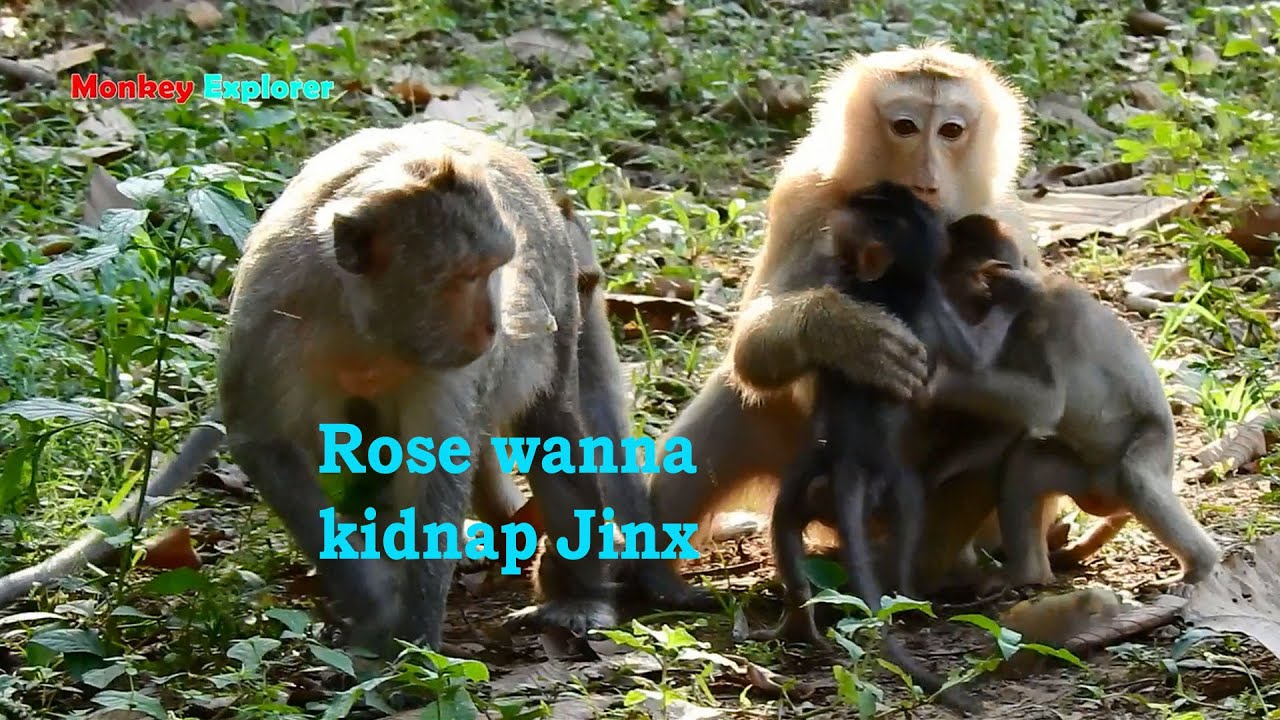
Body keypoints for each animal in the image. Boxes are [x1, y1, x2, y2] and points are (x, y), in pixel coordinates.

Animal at [638, 43, 1037, 610]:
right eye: (906, 126)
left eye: (951, 131)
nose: (925, 177)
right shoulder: (804, 195)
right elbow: (750, 350)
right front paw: (847, 334)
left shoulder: (1007, 220)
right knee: (735, 400)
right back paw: (653, 574)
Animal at [754, 182, 983, 715]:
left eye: (877, 205)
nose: (847, 197)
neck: (894, 281)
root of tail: (848, 465)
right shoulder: (932, 303)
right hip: (862, 481)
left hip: (831, 480)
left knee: (796, 529)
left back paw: (809, 619)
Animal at [925, 214, 1222, 589]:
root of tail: (1103, 497)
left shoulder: (1047, 324)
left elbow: (1046, 404)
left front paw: (939, 381)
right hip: (1083, 478)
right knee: (1027, 465)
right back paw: (1027, 575)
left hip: (1150, 451)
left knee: (1135, 476)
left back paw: (1200, 565)